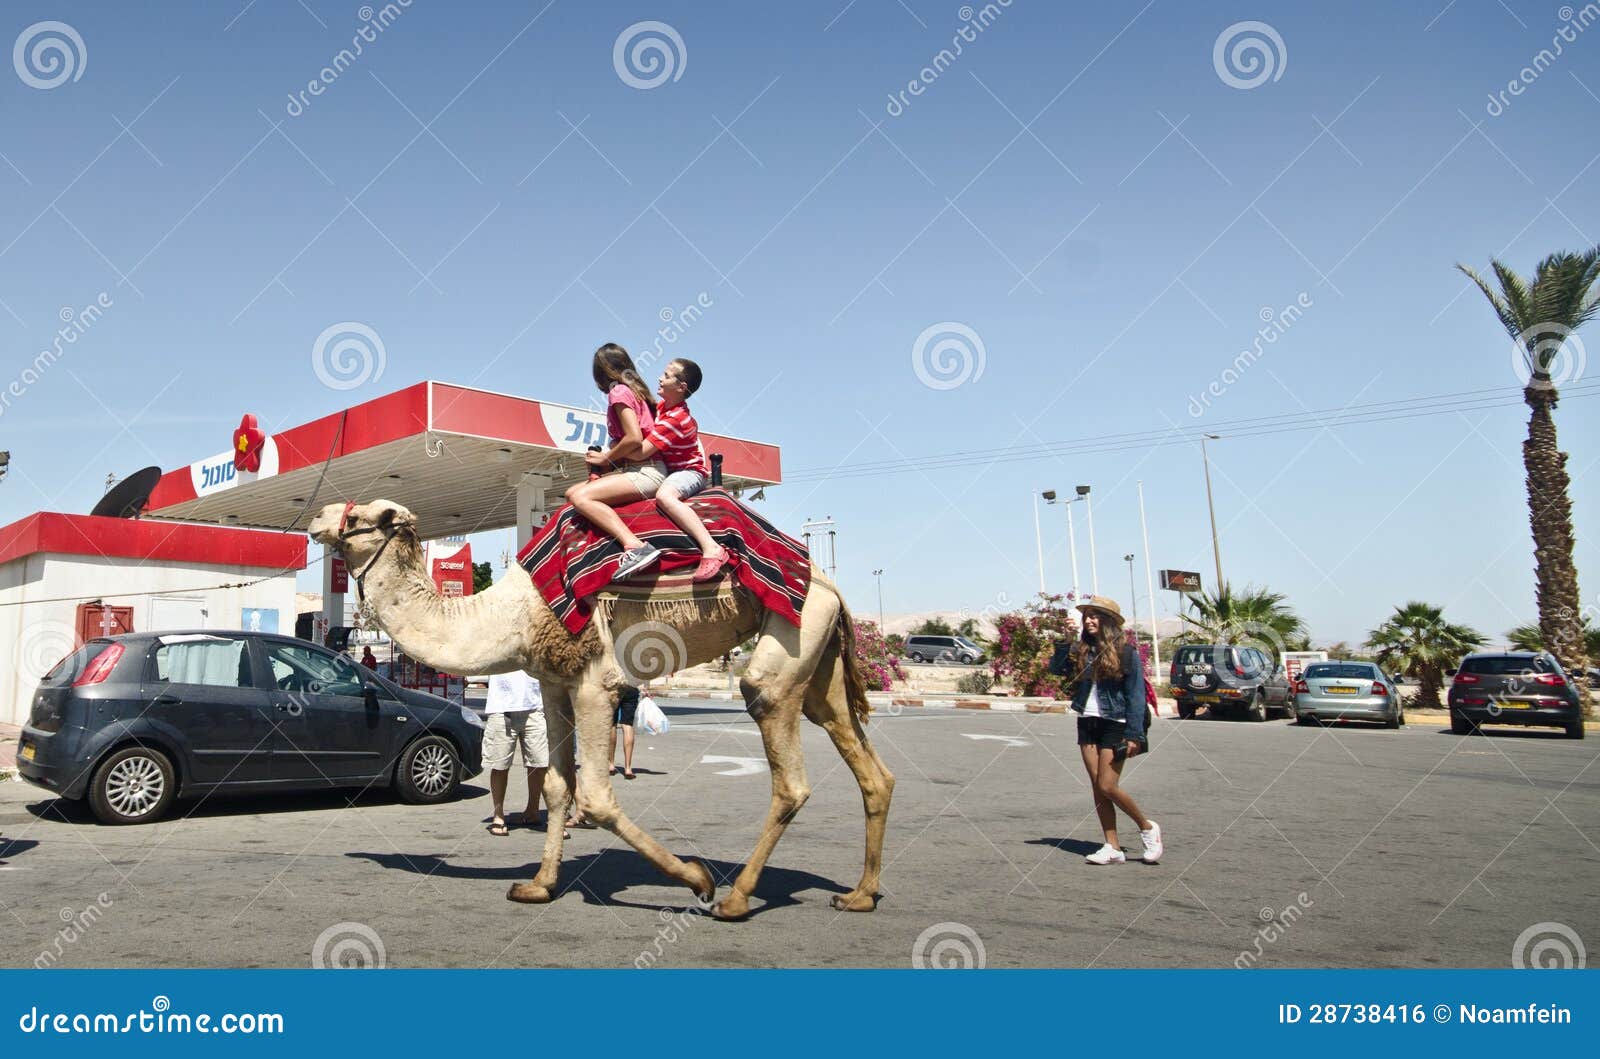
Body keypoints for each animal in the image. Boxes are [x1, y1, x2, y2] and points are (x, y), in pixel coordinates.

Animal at [307, 499, 894, 920]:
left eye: (356, 518)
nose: (315, 518)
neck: (509, 613)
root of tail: (831, 587)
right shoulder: (553, 681)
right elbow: (555, 785)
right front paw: (539, 886)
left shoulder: (595, 682)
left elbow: (595, 796)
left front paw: (698, 878)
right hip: (820, 664)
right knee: (870, 768)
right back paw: (860, 894)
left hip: (790, 636)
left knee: (784, 757)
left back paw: (733, 899)